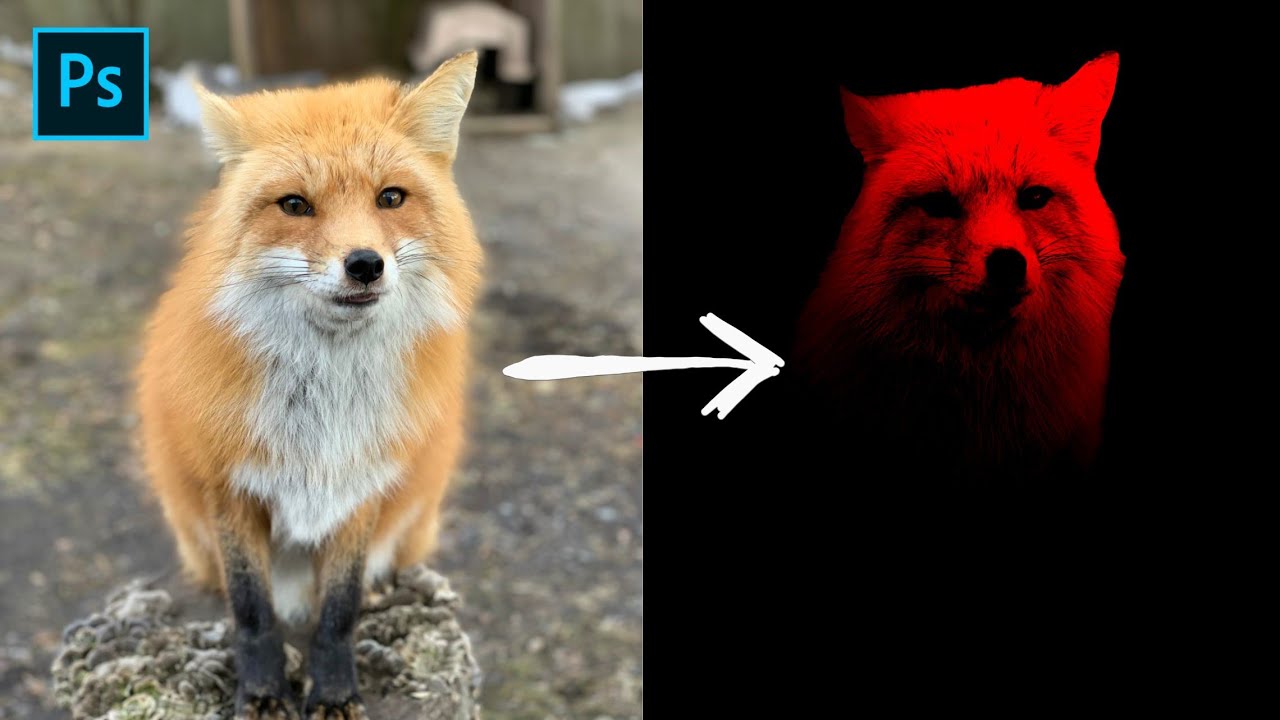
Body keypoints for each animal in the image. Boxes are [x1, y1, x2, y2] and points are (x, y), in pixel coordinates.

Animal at [135, 52, 483, 719]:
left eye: (390, 197)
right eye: (295, 205)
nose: (365, 264)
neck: (322, 408)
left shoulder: (359, 488)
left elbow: (338, 611)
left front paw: (334, 690)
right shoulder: (229, 488)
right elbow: (251, 611)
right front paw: (263, 692)